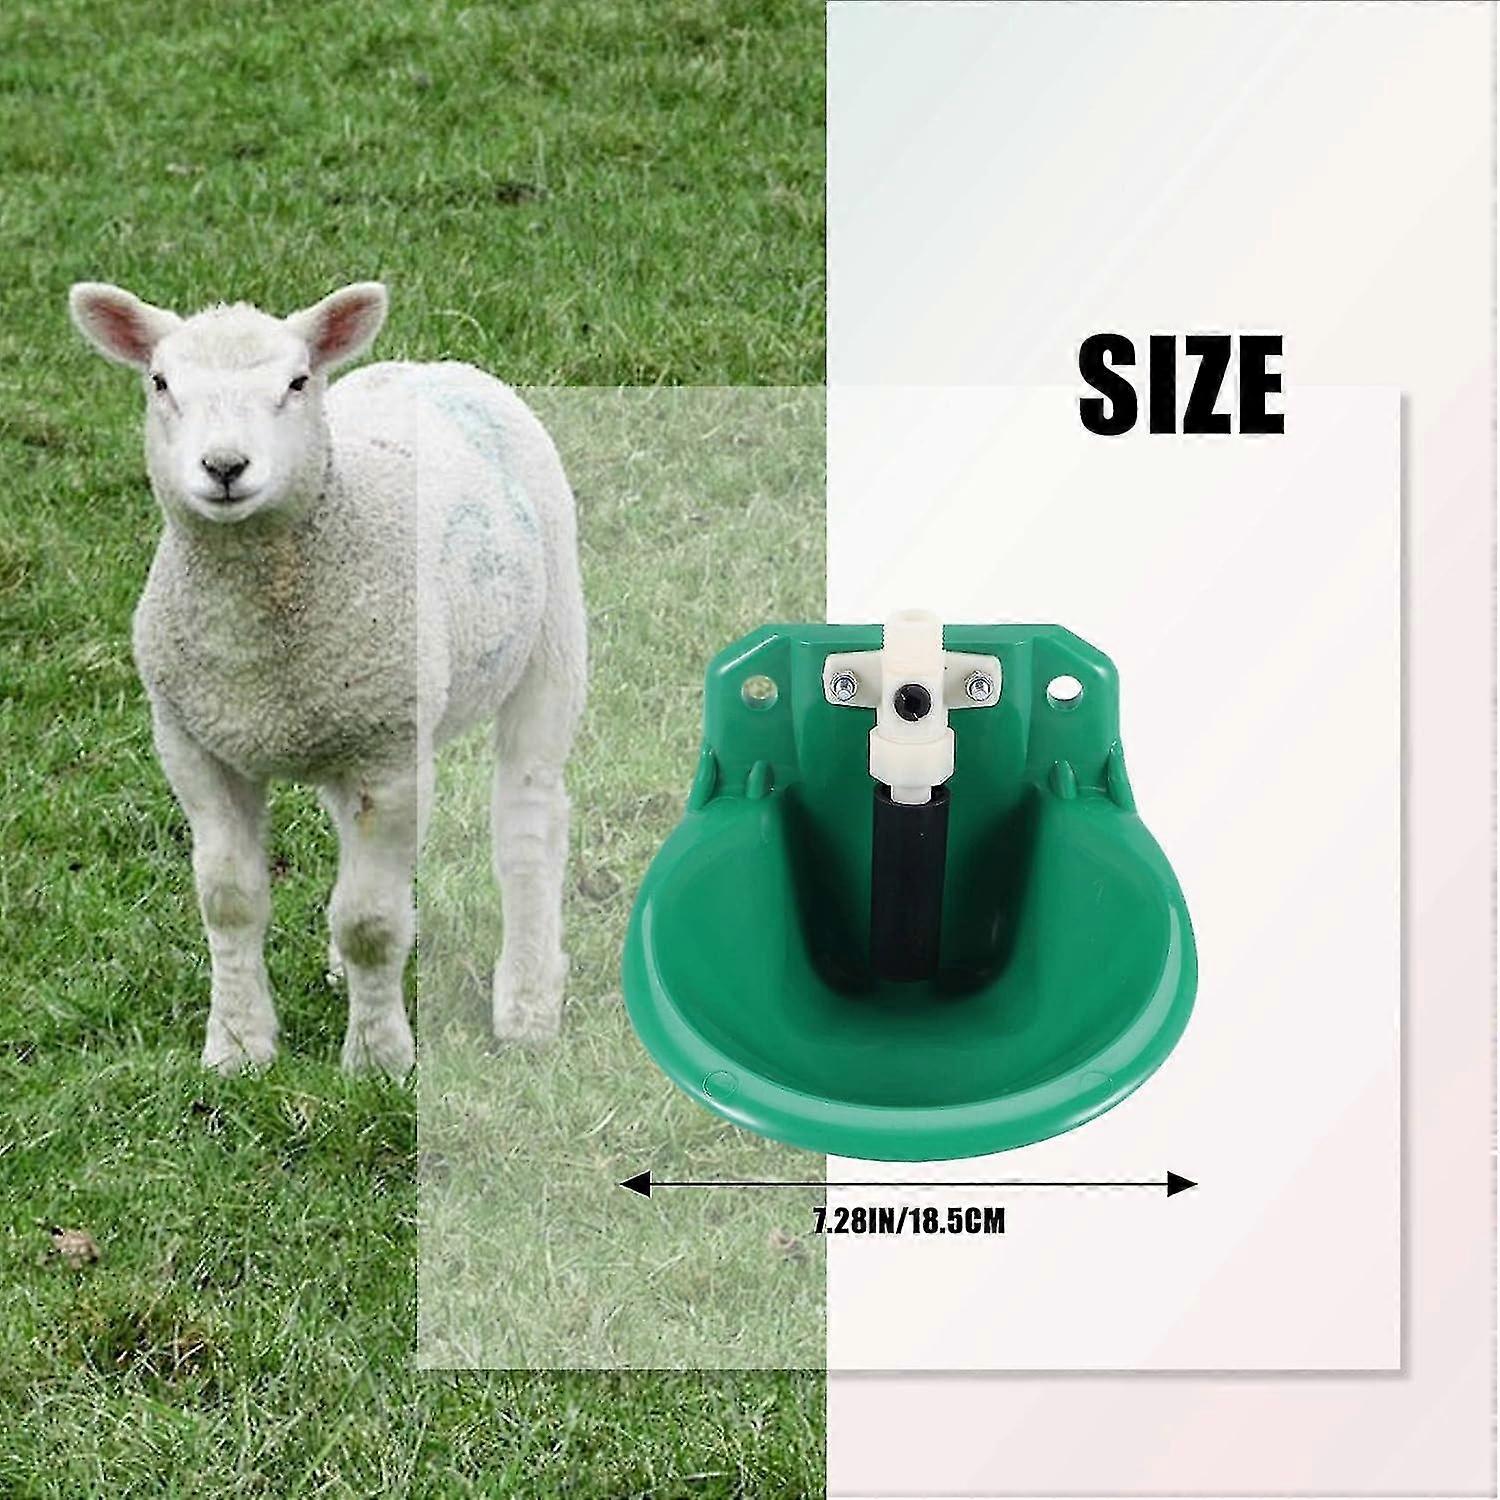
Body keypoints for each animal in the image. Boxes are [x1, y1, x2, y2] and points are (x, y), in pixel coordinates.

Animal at [68, 280, 587, 1077]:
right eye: (160, 383)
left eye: (295, 382)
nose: (225, 466)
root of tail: (435, 364)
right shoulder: (193, 746)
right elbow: (229, 899)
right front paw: (238, 1047)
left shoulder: (389, 754)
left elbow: (369, 920)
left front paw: (377, 1060)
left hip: (551, 636)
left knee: (528, 821)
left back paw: (527, 1005)